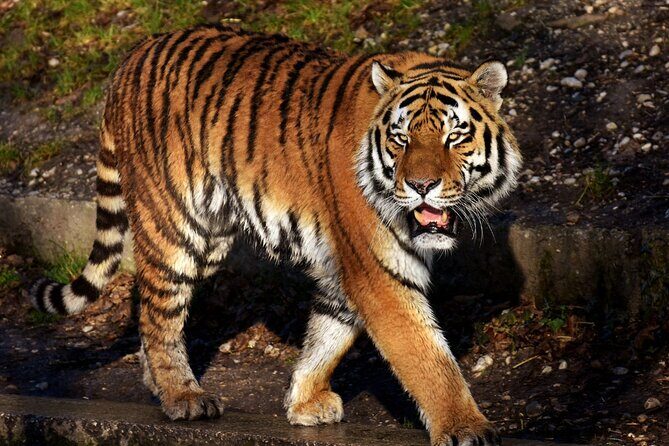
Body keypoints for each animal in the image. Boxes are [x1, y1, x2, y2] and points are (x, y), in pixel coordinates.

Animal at [29, 25, 521, 446]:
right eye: (401, 139)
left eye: (454, 137)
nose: (421, 186)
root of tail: (131, 57)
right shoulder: (379, 271)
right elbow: (427, 357)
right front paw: (466, 428)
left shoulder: (346, 269)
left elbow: (328, 334)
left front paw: (303, 402)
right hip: (173, 226)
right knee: (159, 312)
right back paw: (183, 396)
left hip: (212, 238)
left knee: (148, 304)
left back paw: (159, 383)